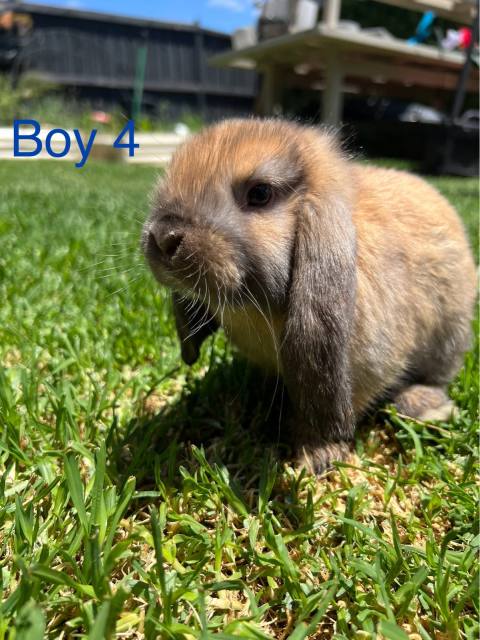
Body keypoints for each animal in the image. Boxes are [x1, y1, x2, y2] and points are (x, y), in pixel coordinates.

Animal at [142, 118, 476, 475]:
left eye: (260, 194)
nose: (163, 237)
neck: (259, 311)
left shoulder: (364, 370)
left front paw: (316, 457)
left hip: (449, 336)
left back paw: (427, 407)